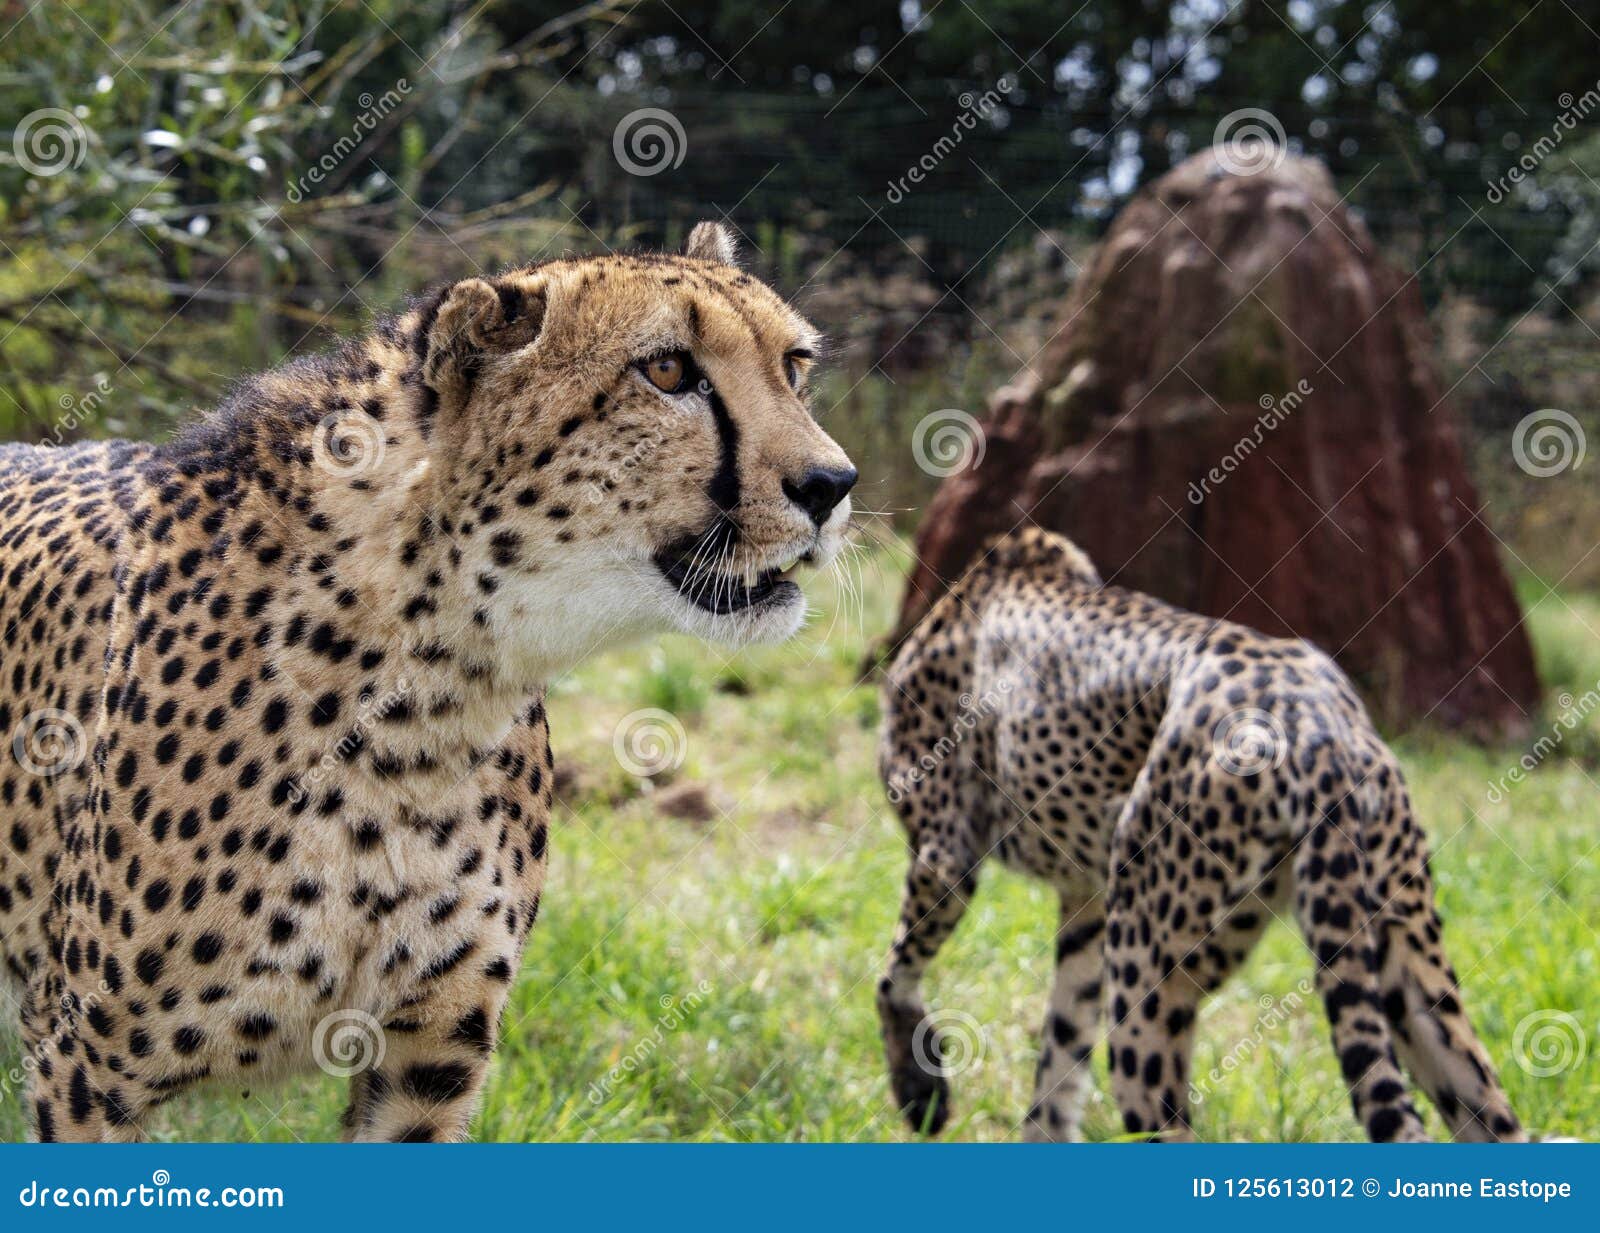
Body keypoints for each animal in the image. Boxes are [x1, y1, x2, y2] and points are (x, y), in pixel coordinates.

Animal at [0, 221, 856, 1141]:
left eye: (794, 365)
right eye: (666, 370)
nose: (831, 486)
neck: (424, 702)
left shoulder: (428, 1058)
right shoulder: (85, 1069)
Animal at [875, 527, 1523, 1143]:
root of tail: (1317, 719)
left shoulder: (944, 856)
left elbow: (892, 975)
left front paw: (921, 1093)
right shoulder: (1087, 900)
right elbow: (1058, 1062)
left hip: (1146, 972)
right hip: (1407, 962)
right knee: (1487, 1110)